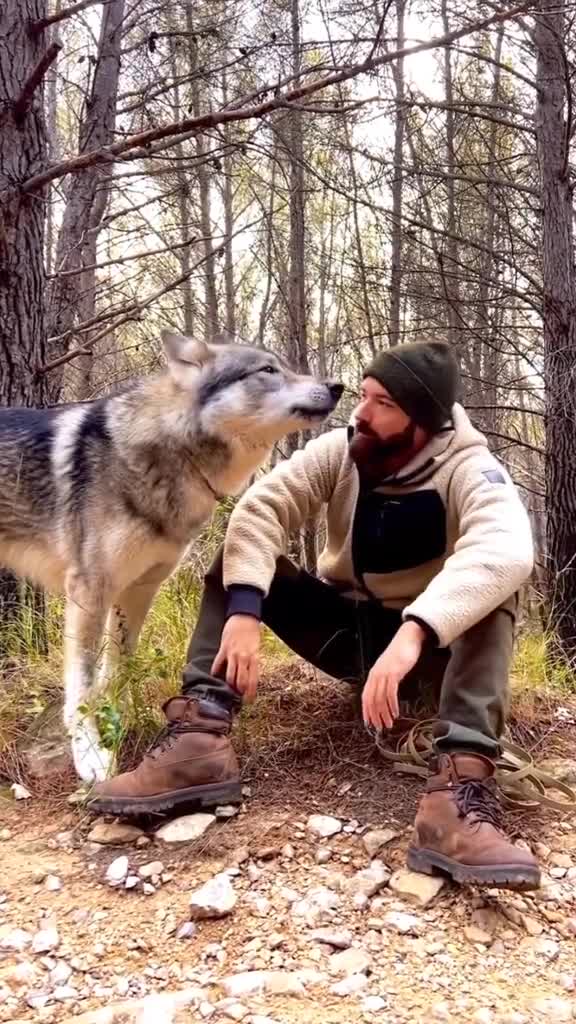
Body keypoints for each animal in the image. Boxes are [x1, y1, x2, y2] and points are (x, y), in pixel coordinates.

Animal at [0, 330, 343, 785]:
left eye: (283, 365)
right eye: (268, 370)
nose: (338, 386)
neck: (173, 453)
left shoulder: (139, 589)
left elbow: (118, 671)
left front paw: (118, 726)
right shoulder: (89, 591)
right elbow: (84, 683)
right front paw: (90, 753)